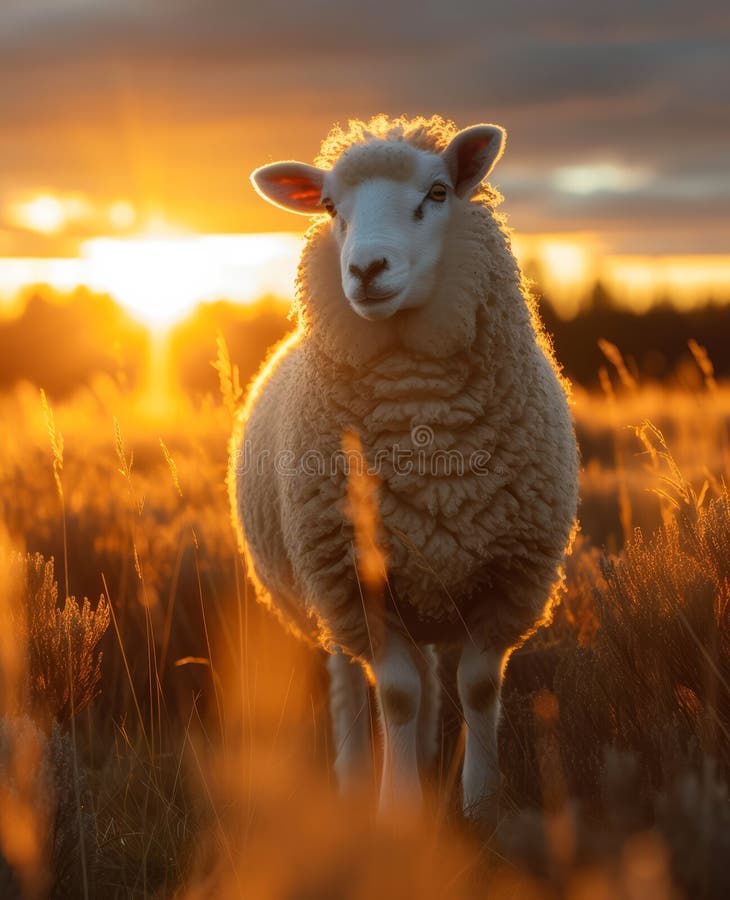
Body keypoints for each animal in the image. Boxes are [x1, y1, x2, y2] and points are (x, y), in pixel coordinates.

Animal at [230, 115, 579, 819]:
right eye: (329, 207)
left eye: (438, 192)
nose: (366, 268)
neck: (425, 437)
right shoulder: (354, 582)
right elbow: (393, 695)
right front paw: (397, 811)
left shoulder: (505, 581)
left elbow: (477, 688)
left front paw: (481, 803)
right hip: (338, 595)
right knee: (356, 681)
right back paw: (358, 775)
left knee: (429, 678)